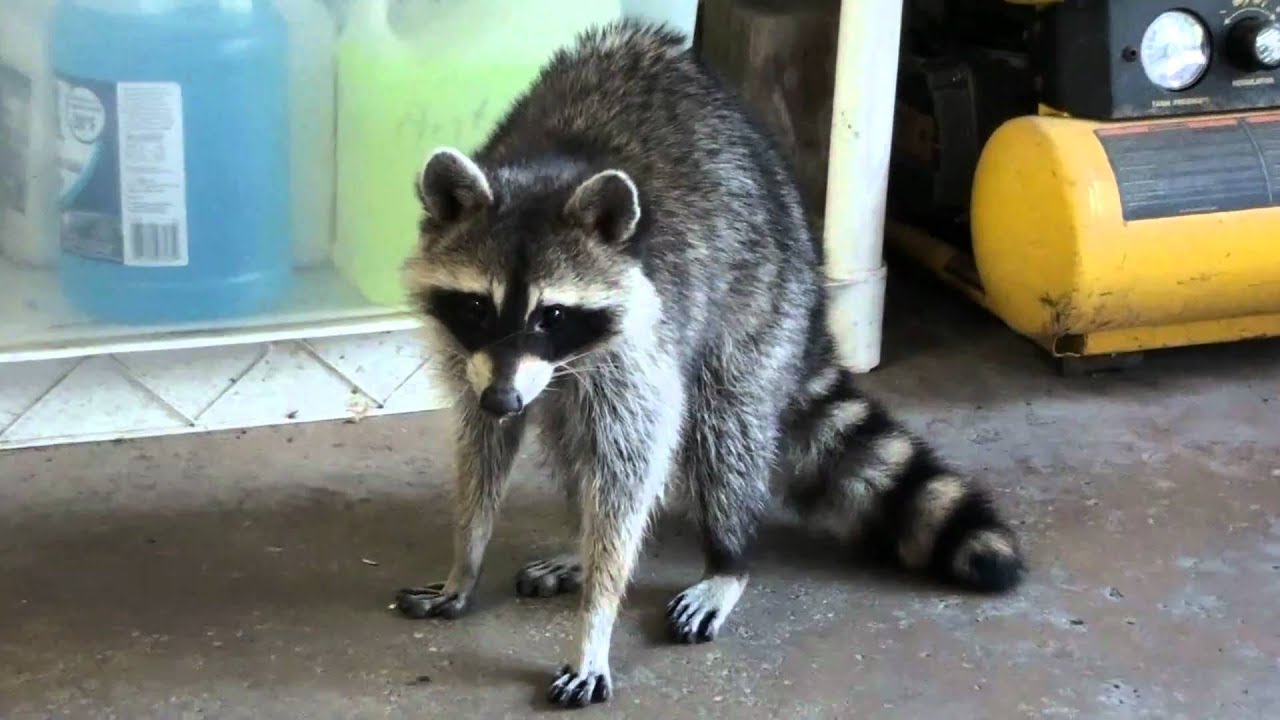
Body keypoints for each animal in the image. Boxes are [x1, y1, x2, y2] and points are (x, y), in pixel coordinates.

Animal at [393, 20, 1025, 708]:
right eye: (478, 307)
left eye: (551, 315)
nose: (505, 400)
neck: (550, 164)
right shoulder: (478, 357)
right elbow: (485, 443)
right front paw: (467, 555)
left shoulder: (644, 338)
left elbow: (632, 461)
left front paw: (597, 618)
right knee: (570, 437)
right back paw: (581, 542)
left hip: (757, 306)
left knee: (726, 433)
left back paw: (728, 557)